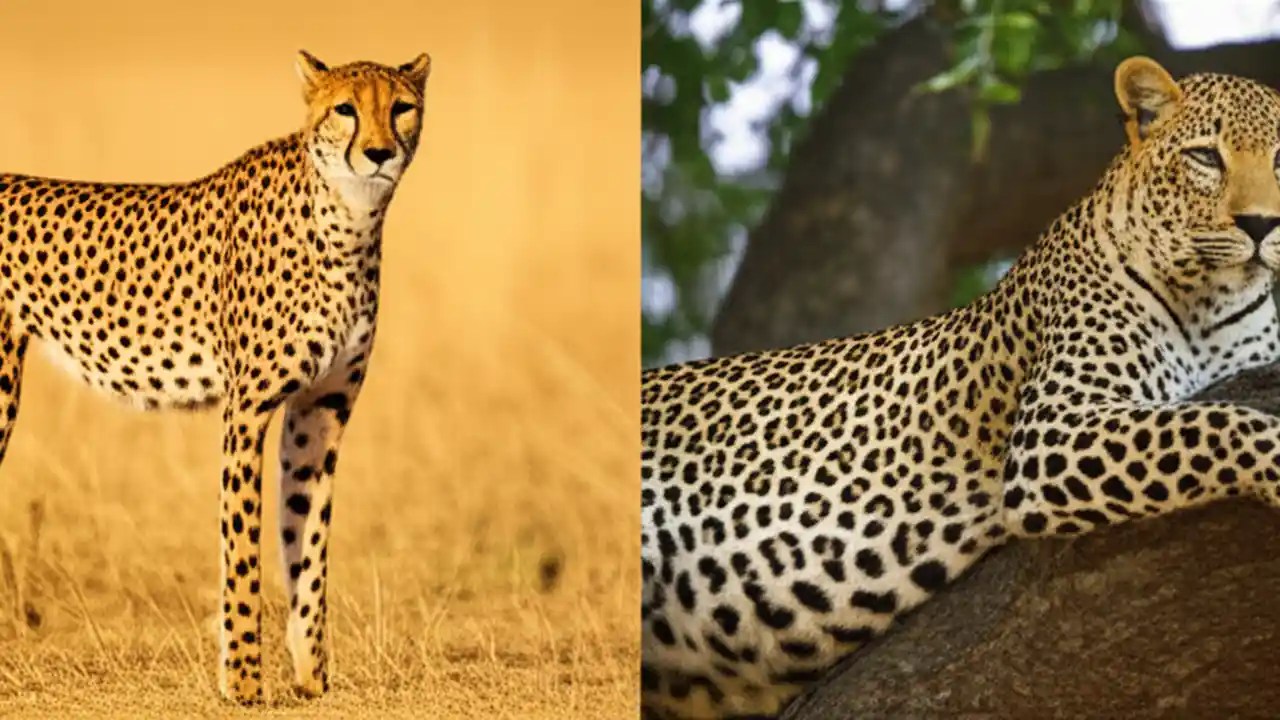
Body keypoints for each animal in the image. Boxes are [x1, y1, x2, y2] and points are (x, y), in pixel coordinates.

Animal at [0, 50, 430, 702]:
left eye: (401, 107)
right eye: (345, 109)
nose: (379, 153)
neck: (346, 220)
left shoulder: (322, 412)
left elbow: (308, 542)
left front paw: (312, 678)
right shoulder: (246, 410)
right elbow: (244, 548)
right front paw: (245, 683)